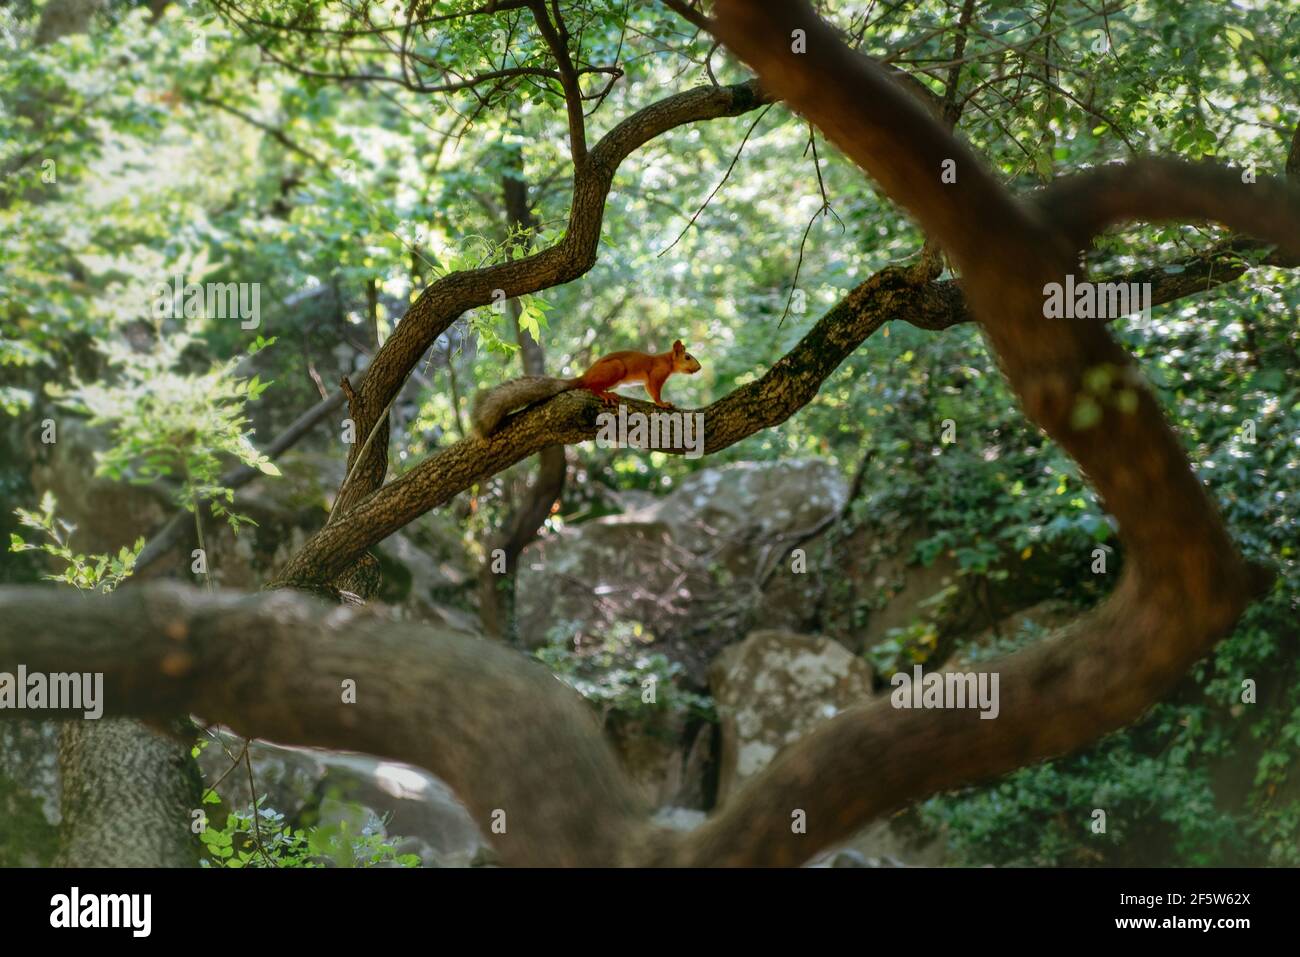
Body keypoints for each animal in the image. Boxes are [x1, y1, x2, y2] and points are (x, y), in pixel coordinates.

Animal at [471, 339, 702, 437]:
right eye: (687, 357)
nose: (699, 368)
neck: (667, 361)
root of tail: (585, 375)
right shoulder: (655, 374)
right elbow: (654, 391)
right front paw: (663, 403)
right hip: (615, 369)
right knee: (592, 387)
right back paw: (604, 394)